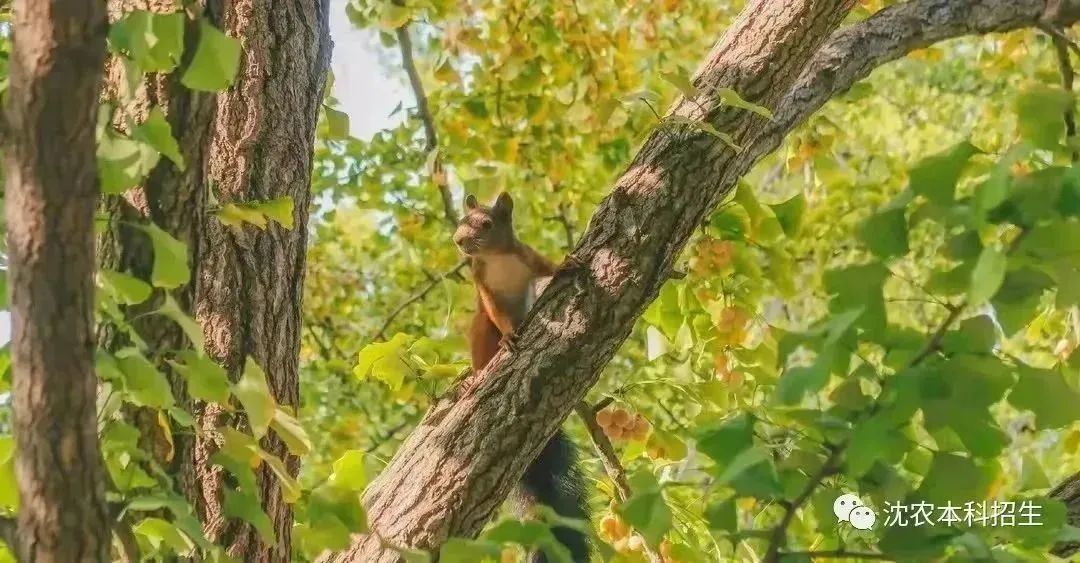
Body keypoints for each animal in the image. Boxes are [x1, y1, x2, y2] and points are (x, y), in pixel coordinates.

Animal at [453, 191, 596, 557]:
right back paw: (475, 376)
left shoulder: (527, 257)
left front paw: (565, 264)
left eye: (486, 223)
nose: (458, 241)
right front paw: (508, 337)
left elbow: (545, 267)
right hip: (480, 332)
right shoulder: (483, 286)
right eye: (461, 222)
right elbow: (496, 311)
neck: (496, 257)